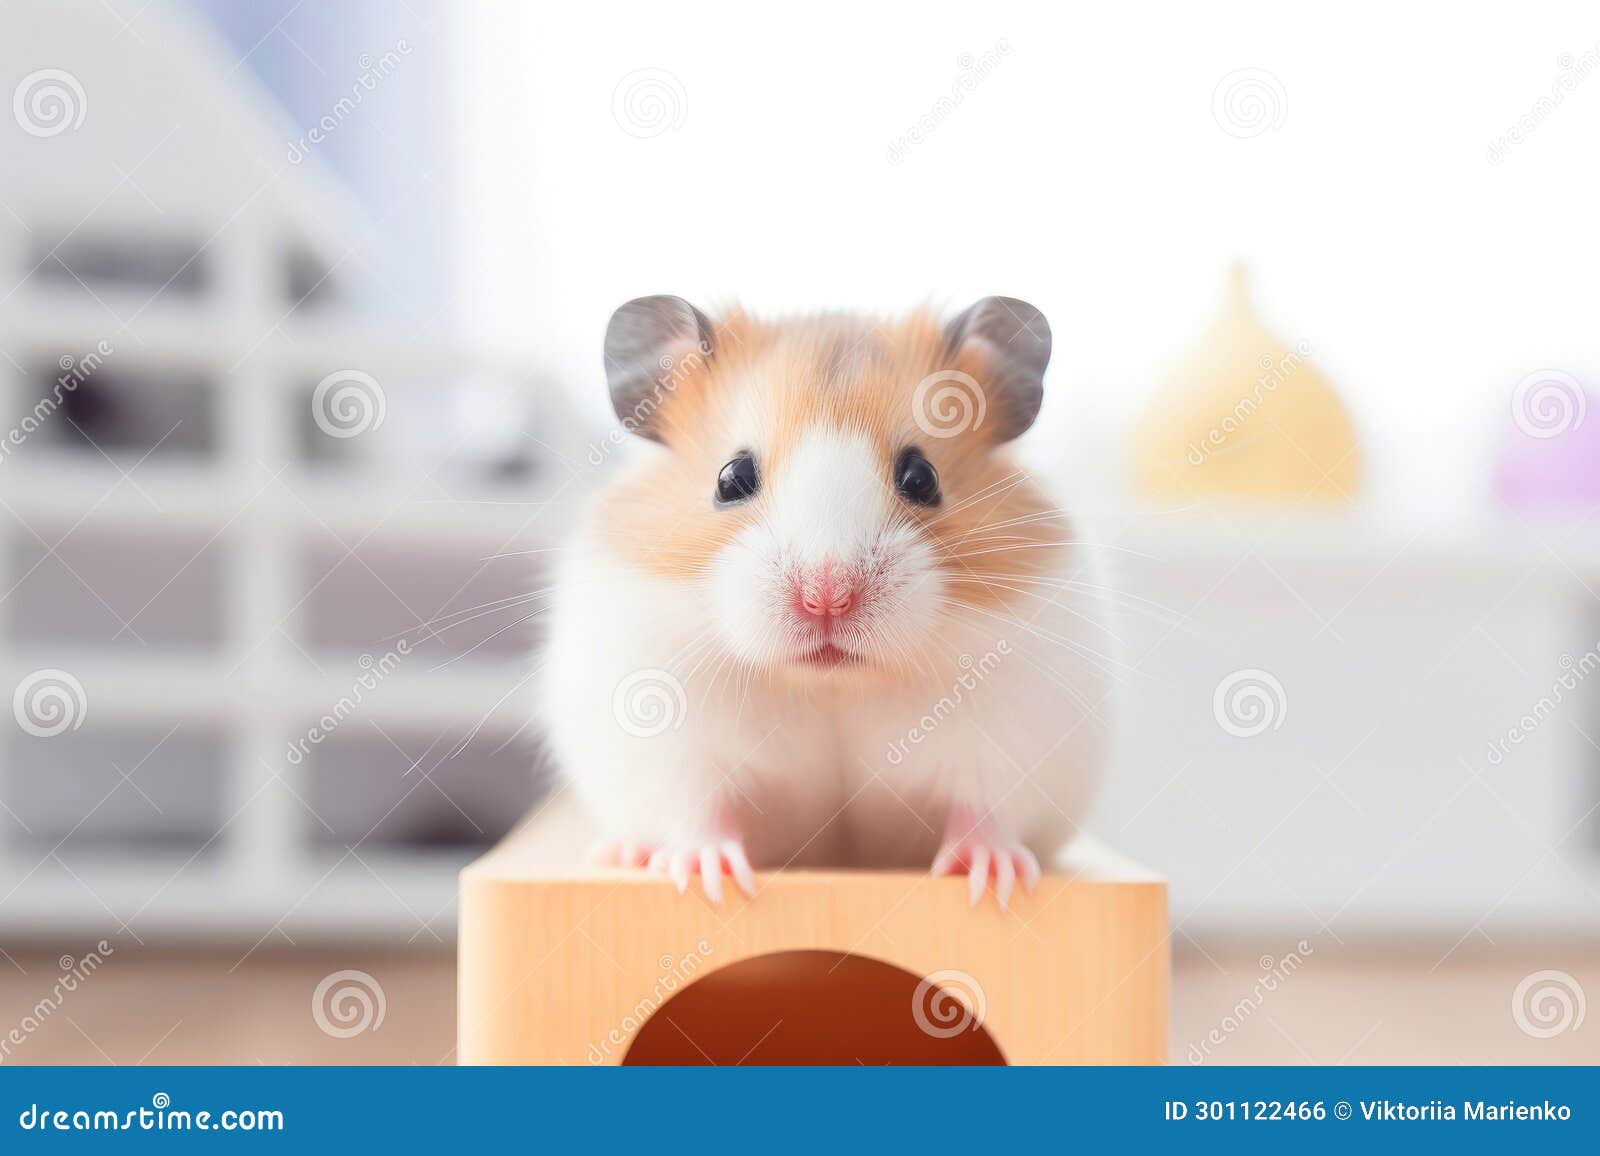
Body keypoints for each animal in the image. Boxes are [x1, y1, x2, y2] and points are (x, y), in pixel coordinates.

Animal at [538, 296, 1116, 906]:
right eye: (731, 477)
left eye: (922, 477)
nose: (826, 597)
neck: (832, 684)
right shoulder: (675, 742)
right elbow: (699, 810)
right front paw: (708, 876)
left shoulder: (1009, 738)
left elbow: (984, 810)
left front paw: (990, 878)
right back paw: (625, 853)